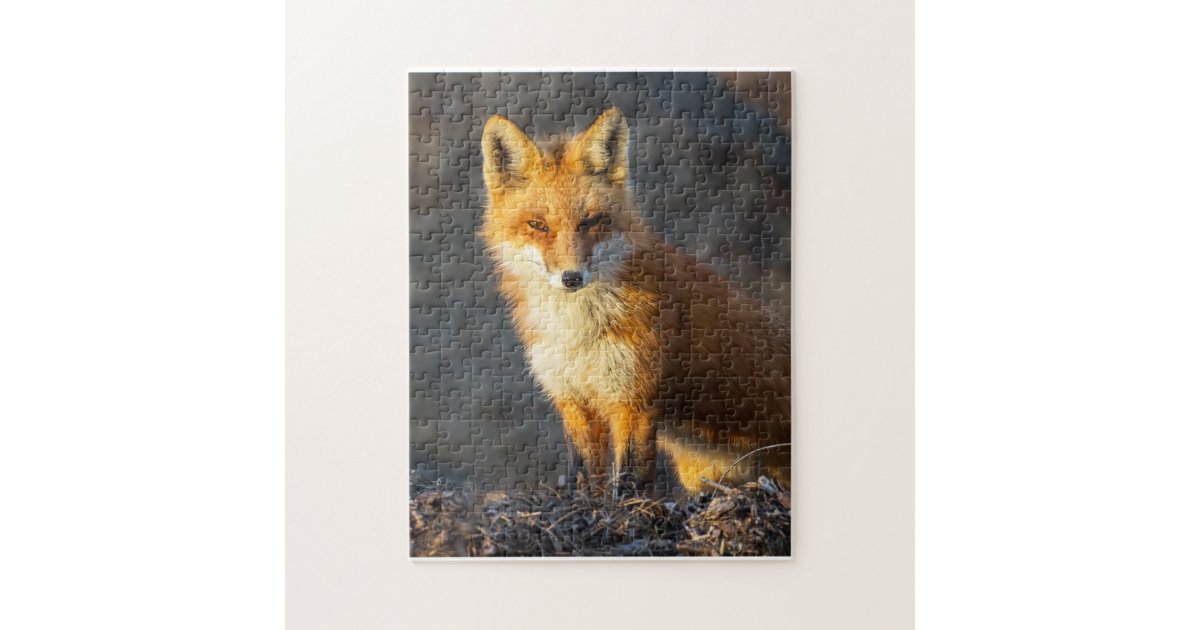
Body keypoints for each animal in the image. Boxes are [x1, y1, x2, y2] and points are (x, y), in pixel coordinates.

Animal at [480, 108, 791, 494]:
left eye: (590, 222)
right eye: (537, 225)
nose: (571, 278)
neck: (578, 333)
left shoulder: (634, 401)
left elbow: (630, 482)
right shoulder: (574, 401)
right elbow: (586, 481)